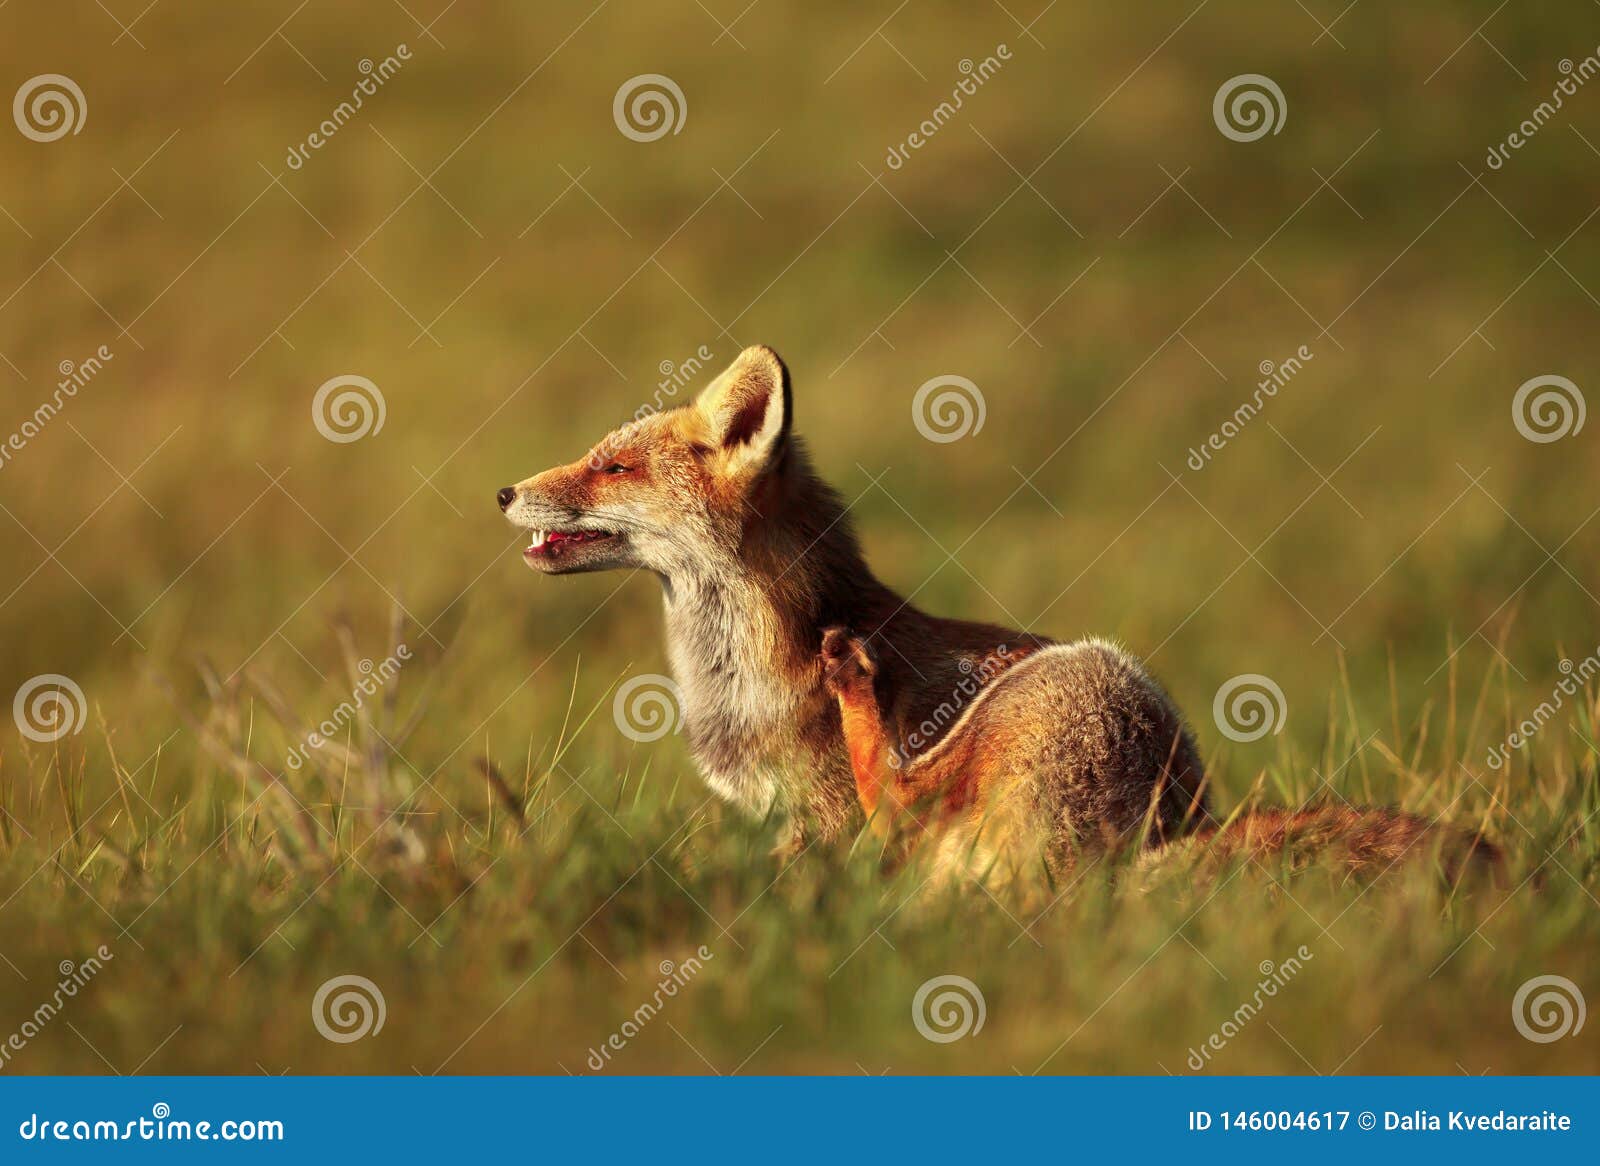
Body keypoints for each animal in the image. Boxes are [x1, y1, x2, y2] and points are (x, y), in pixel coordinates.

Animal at [498, 344, 1500, 885]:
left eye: (613, 468)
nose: (505, 490)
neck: (744, 677)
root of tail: (1157, 842)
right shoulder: (781, 820)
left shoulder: (826, 820)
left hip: (1064, 683)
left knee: (902, 801)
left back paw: (855, 679)